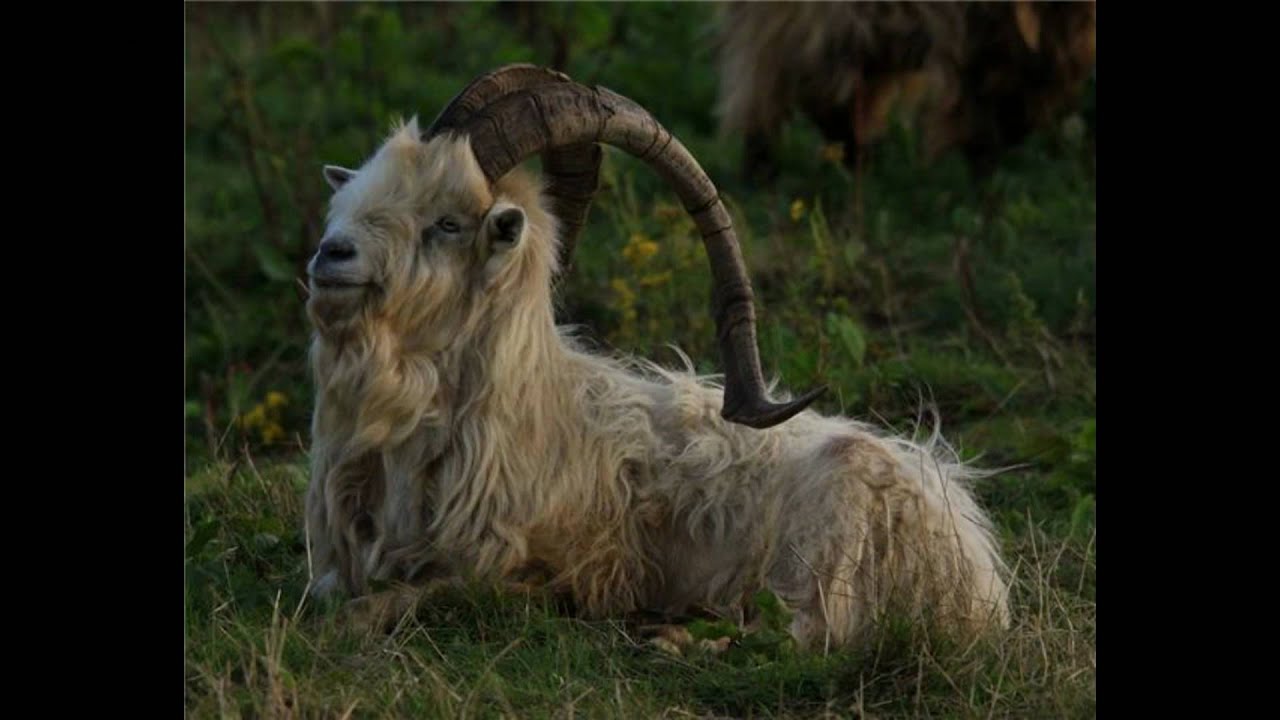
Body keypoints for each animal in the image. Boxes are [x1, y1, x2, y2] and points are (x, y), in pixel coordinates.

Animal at [304, 65, 1009, 650]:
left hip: (828, 545)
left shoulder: (538, 569)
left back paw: (668, 635)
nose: (330, 255)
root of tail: (979, 574)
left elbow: (401, 602)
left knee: (800, 635)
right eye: (357, 194)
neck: (529, 410)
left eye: (448, 223)